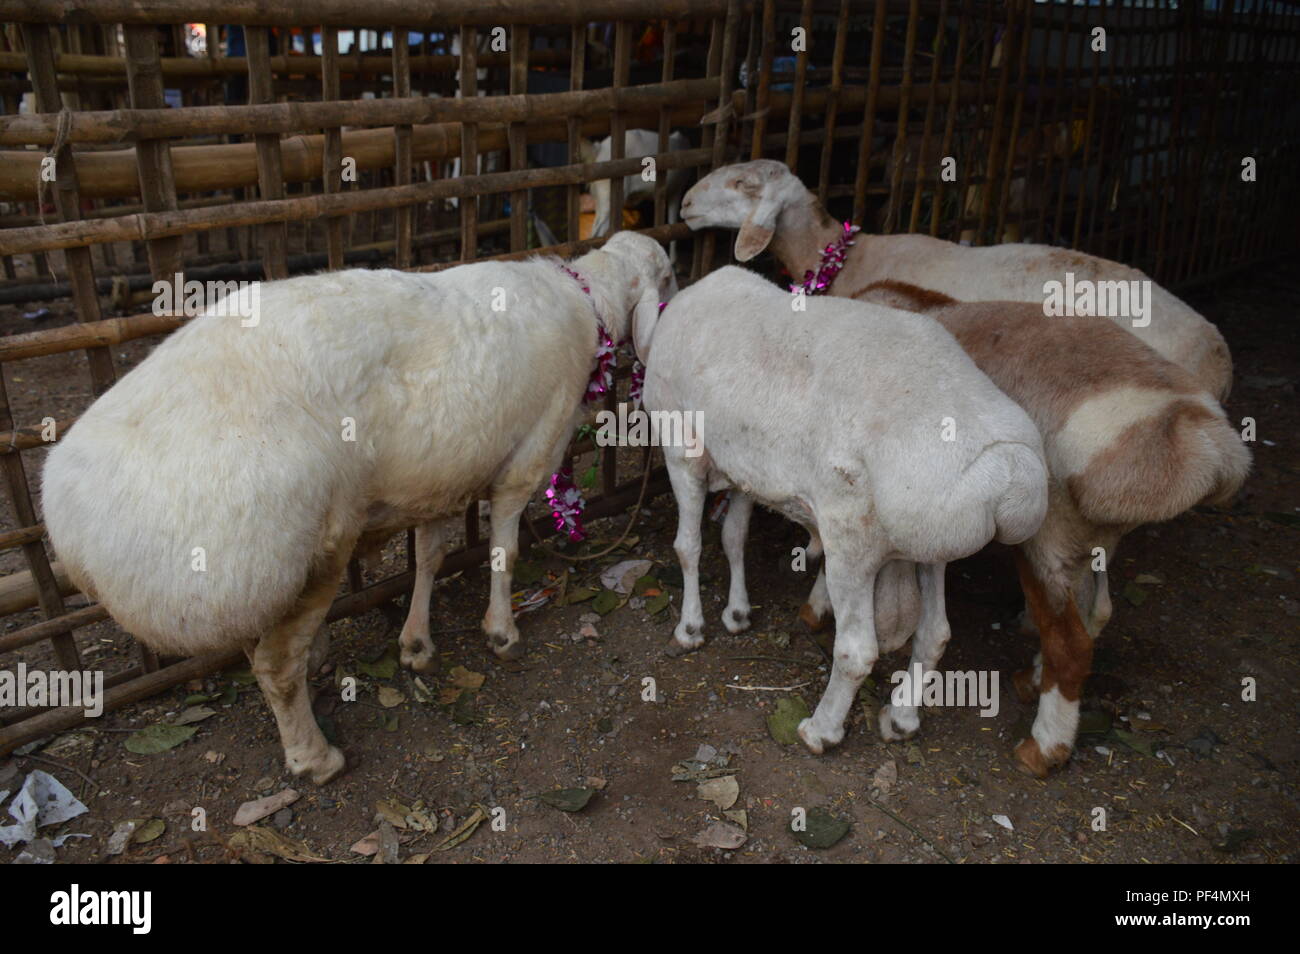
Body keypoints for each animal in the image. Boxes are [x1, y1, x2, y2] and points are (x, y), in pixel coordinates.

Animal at [41, 231, 676, 785]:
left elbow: (429, 557)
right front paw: (501, 630)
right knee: (274, 666)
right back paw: (314, 757)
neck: (587, 299)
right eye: (669, 274)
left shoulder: (437, 477)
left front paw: (416, 643)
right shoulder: (528, 460)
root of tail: (69, 522)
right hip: (315, 549)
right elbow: (505, 551)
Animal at [634, 265, 1049, 754]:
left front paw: (690, 629)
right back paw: (901, 719)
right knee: (934, 634)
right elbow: (733, 537)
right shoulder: (748, 471)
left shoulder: (681, 451)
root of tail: (1010, 467)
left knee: (857, 651)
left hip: (852, 540)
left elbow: (688, 546)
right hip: (932, 547)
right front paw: (737, 614)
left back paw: (821, 730)